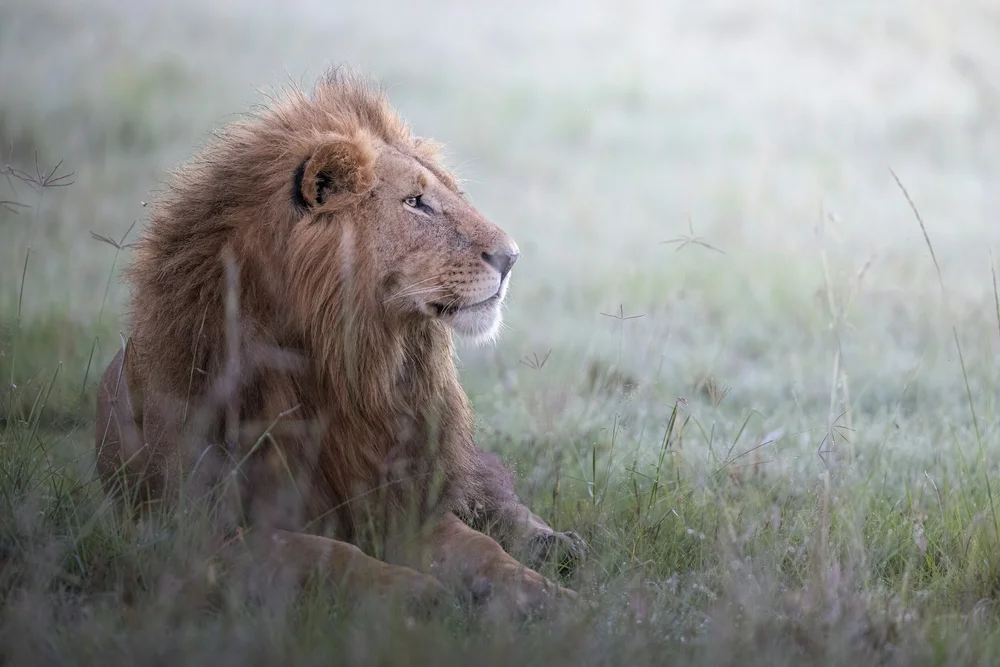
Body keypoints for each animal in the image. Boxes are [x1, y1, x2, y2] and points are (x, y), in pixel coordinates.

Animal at [94, 67, 586, 615]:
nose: (512, 257)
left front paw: (550, 598)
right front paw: (417, 594)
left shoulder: (402, 499)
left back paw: (556, 544)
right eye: (415, 202)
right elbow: (327, 553)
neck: (350, 368)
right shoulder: (202, 534)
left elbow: (482, 548)